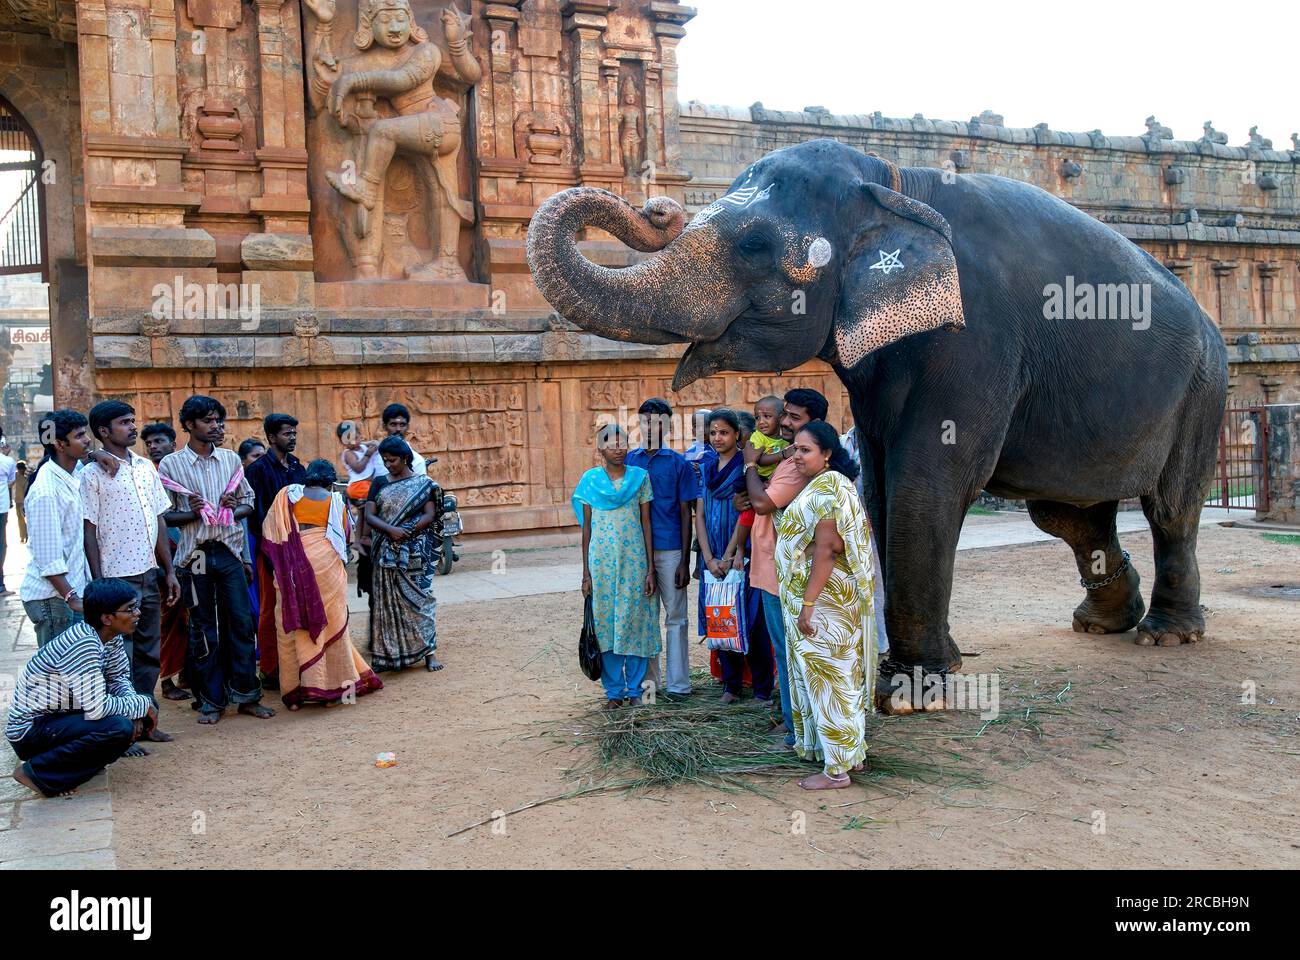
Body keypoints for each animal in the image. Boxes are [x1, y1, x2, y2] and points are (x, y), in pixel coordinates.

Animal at [526, 138, 1228, 691]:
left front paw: (911, 688)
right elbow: (881, 481)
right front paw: (917, 669)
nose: (658, 206)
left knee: (1170, 509)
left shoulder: (980, 335)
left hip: (1205, 388)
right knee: (1068, 515)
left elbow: (930, 479)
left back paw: (1166, 634)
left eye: (753, 244)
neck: (890, 181)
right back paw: (1105, 622)